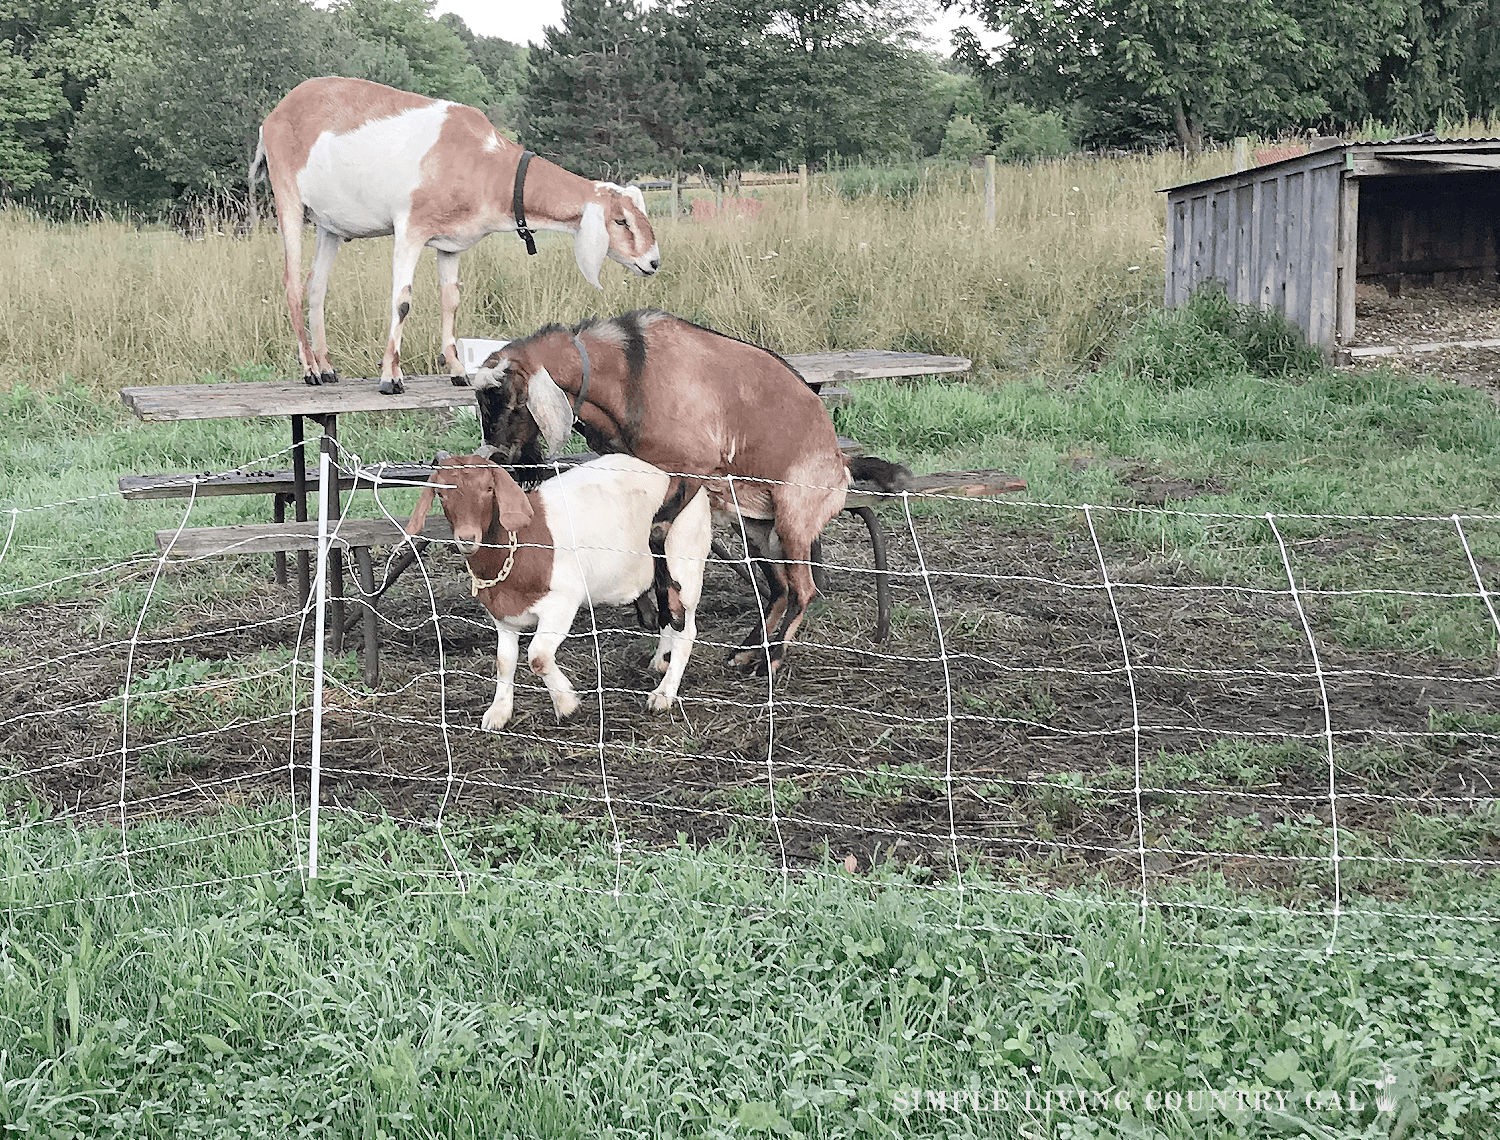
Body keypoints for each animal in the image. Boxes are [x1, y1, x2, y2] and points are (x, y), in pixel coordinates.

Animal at [251, 77, 661, 395]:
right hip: (289, 199)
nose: (652, 261)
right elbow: (402, 301)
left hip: (329, 227)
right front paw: (391, 377)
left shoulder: (450, 244)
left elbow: (450, 300)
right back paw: (310, 370)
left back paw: (327, 367)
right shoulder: (410, 229)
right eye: (621, 221)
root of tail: (273, 116)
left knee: (316, 286)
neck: (480, 158)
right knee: (292, 282)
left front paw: (458, 370)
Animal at [405, 453, 711, 730]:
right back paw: (660, 662)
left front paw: (566, 704)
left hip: (686, 562)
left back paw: (664, 693)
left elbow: (538, 657)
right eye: (441, 494)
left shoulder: (561, 604)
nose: (467, 538)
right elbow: (504, 661)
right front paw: (499, 712)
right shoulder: (503, 616)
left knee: (686, 630)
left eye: (489, 489)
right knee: (669, 617)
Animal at [468, 309, 911, 672]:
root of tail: (841, 465)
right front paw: (661, 624)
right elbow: (651, 545)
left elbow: (657, 535)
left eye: (511, 400)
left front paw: (672, 615)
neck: (629, 374)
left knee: (804, 589)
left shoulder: (692, 470)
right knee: (780, 589)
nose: (500, 457)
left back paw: (772, 660)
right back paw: (746, 651)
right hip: (753, 525)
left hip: (793, 517)